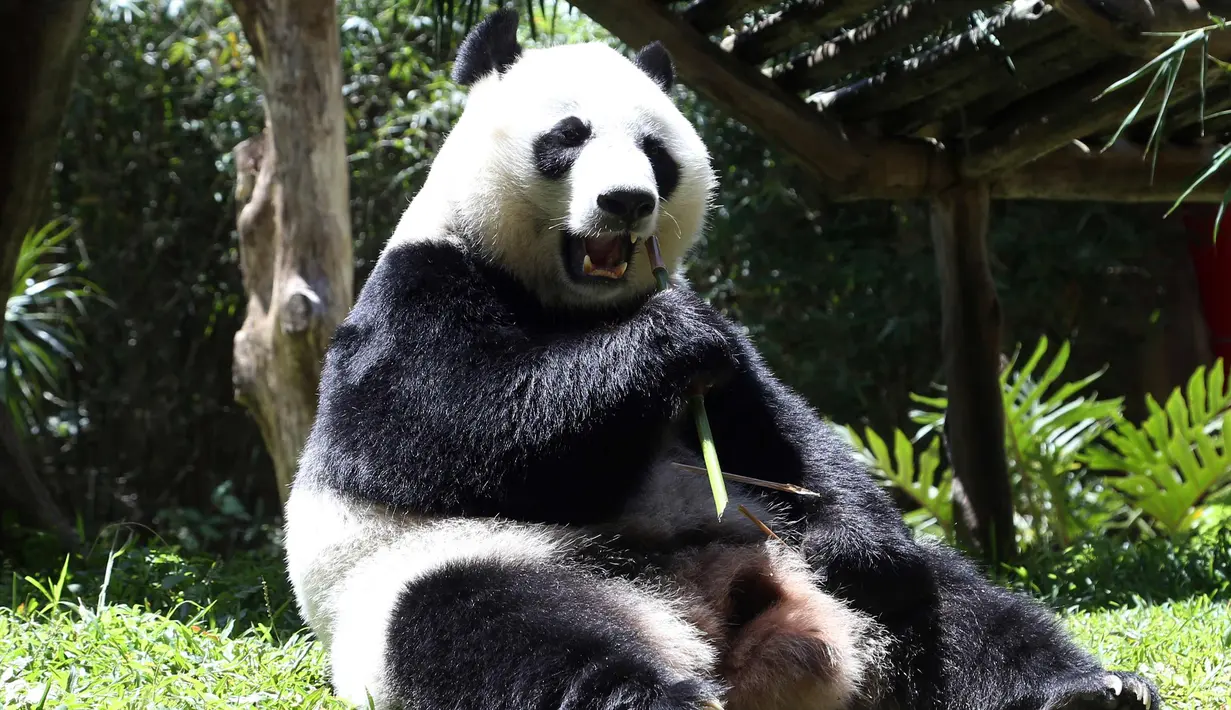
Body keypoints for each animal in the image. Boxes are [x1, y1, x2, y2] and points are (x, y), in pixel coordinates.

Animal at [285, 8, 1162, 710]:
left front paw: (859, 540)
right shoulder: (416, 293)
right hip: (449, 571)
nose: (626, 202)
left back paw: (1088, 689)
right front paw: (661, 343)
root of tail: (709, 627)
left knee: (957, 607)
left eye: (655, 153)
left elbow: (786, 435)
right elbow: (449, 428)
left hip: (793, 554)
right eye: (566, 138)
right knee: (498, 633)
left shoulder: (738, 362)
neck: (580, 306)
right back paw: (659, 699)